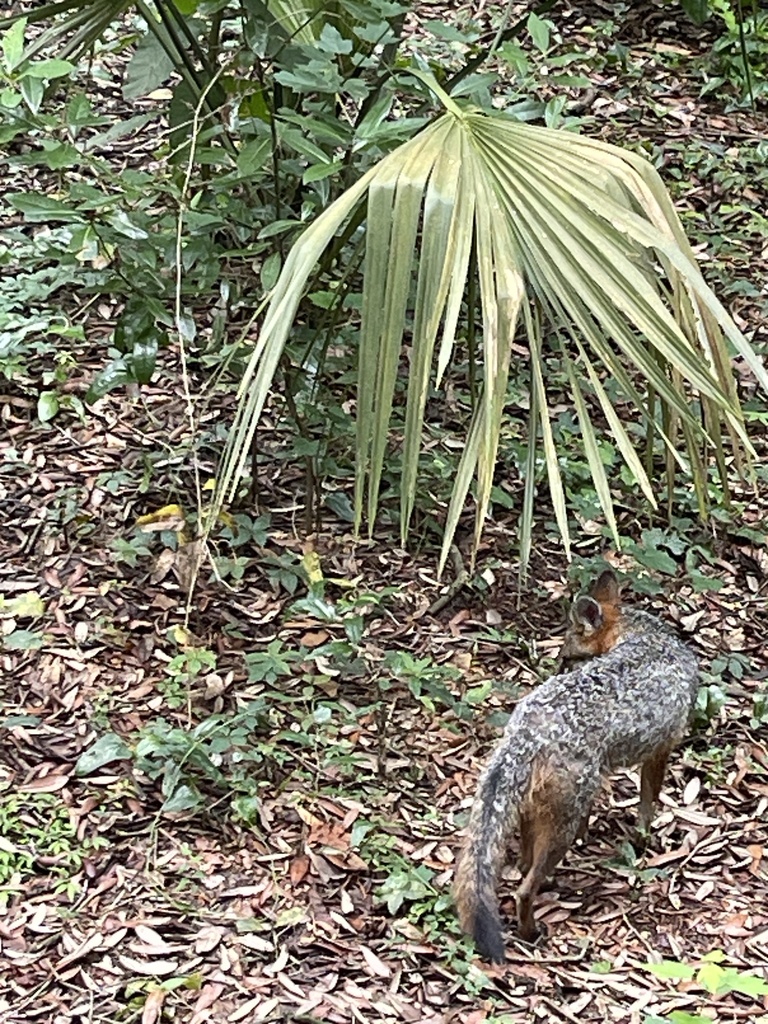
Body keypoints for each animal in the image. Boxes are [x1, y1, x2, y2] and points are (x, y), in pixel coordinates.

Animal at [453, 568, 700, 963]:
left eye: (567, 659)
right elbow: (648, 806)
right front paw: (643, 841)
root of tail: (528, 729)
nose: (555, 669)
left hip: (537, 809)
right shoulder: (661, 749)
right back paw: (530, 931)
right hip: (559, 829)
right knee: (524, 888)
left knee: (523, 866)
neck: (645, 638)